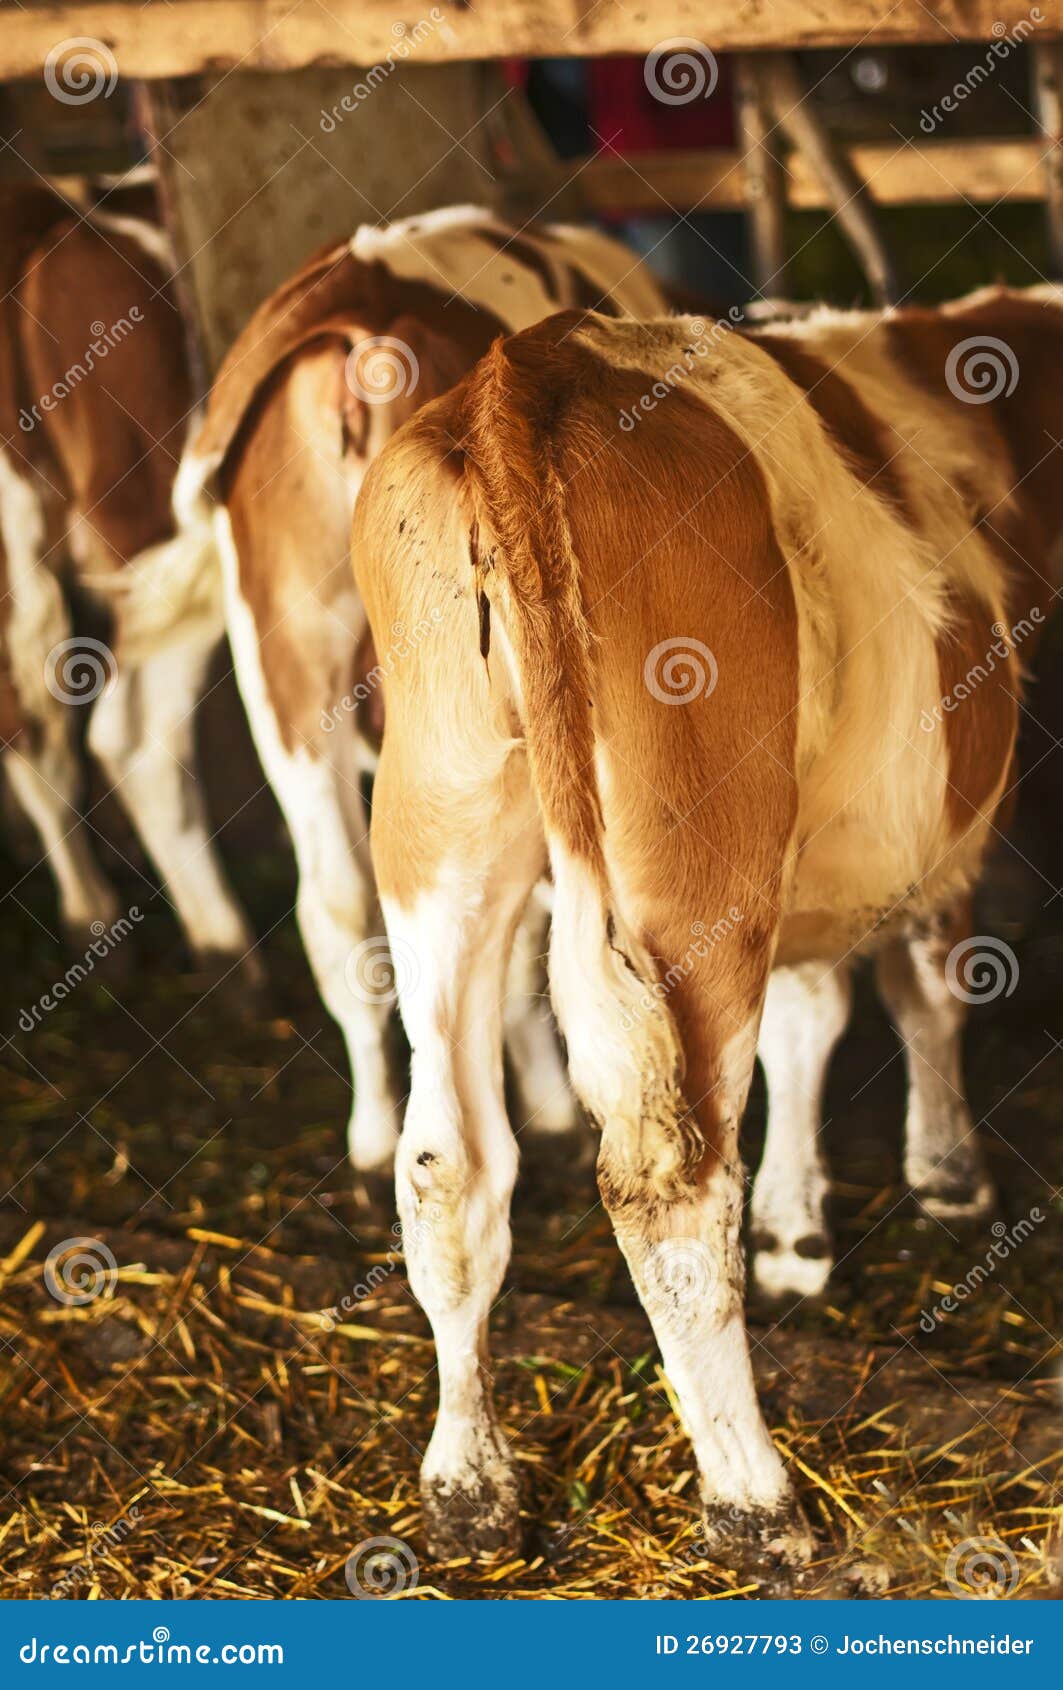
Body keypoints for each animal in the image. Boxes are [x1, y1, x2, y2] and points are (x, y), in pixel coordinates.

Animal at [350, 286, 1060, 1571]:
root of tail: (519, 377)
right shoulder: (944, 843)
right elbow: (926, 987)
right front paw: (943, 1174)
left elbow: (810, 1016)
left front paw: (796, 1229)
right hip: (695, 867)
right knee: (668, 1182)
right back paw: (753, 1502)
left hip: (441, 828)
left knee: (445, 1163)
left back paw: (467, 1483)